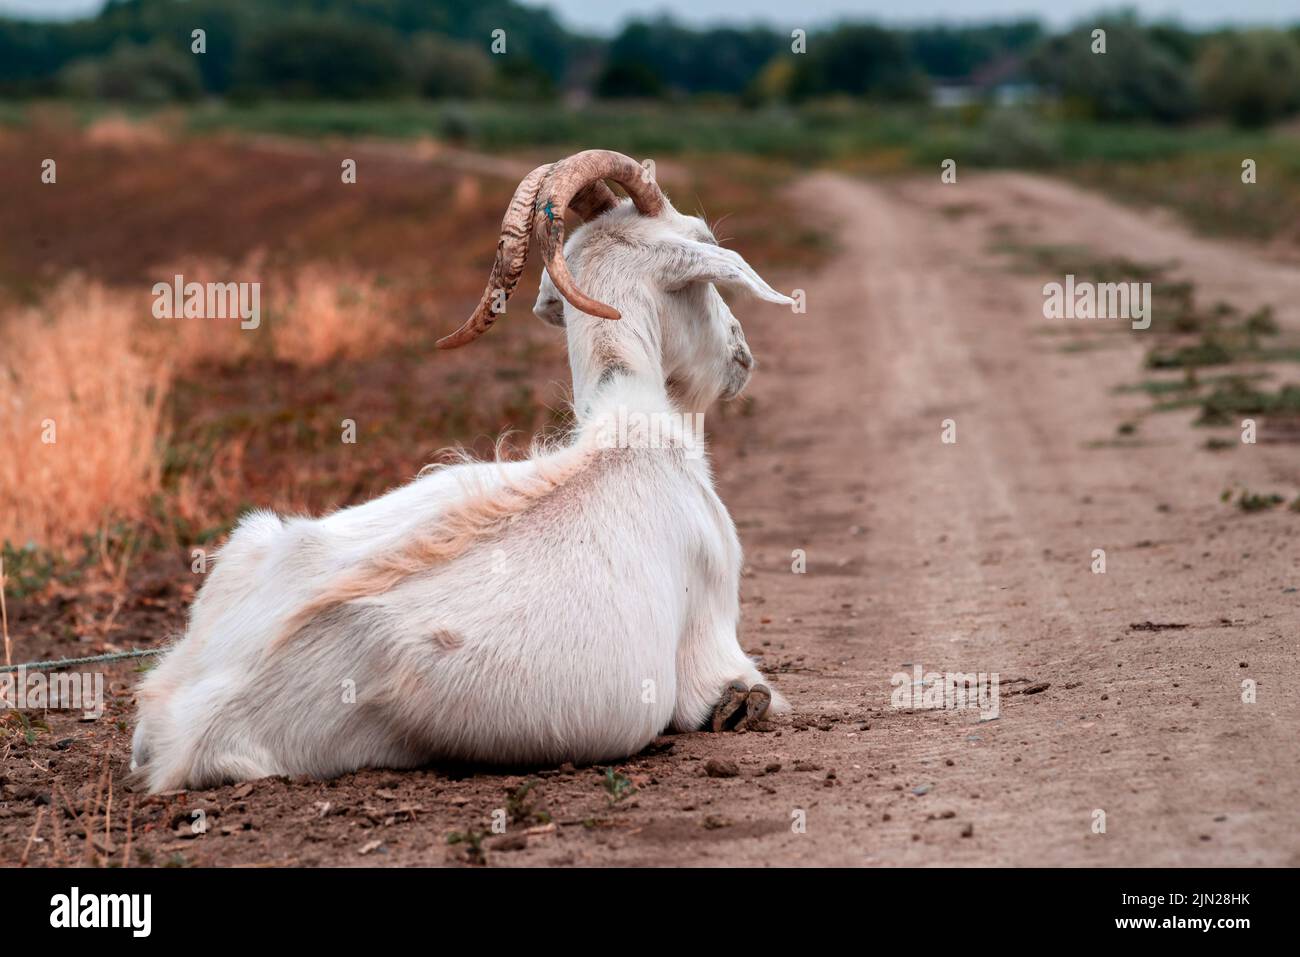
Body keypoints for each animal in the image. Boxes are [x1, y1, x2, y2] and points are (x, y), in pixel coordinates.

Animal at [131, 150, 792, 792]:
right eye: (703, 241)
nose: (741, 354)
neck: (630, 421)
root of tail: (180, 722)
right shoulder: (714, 643)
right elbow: (738, 694)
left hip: (255, 537)